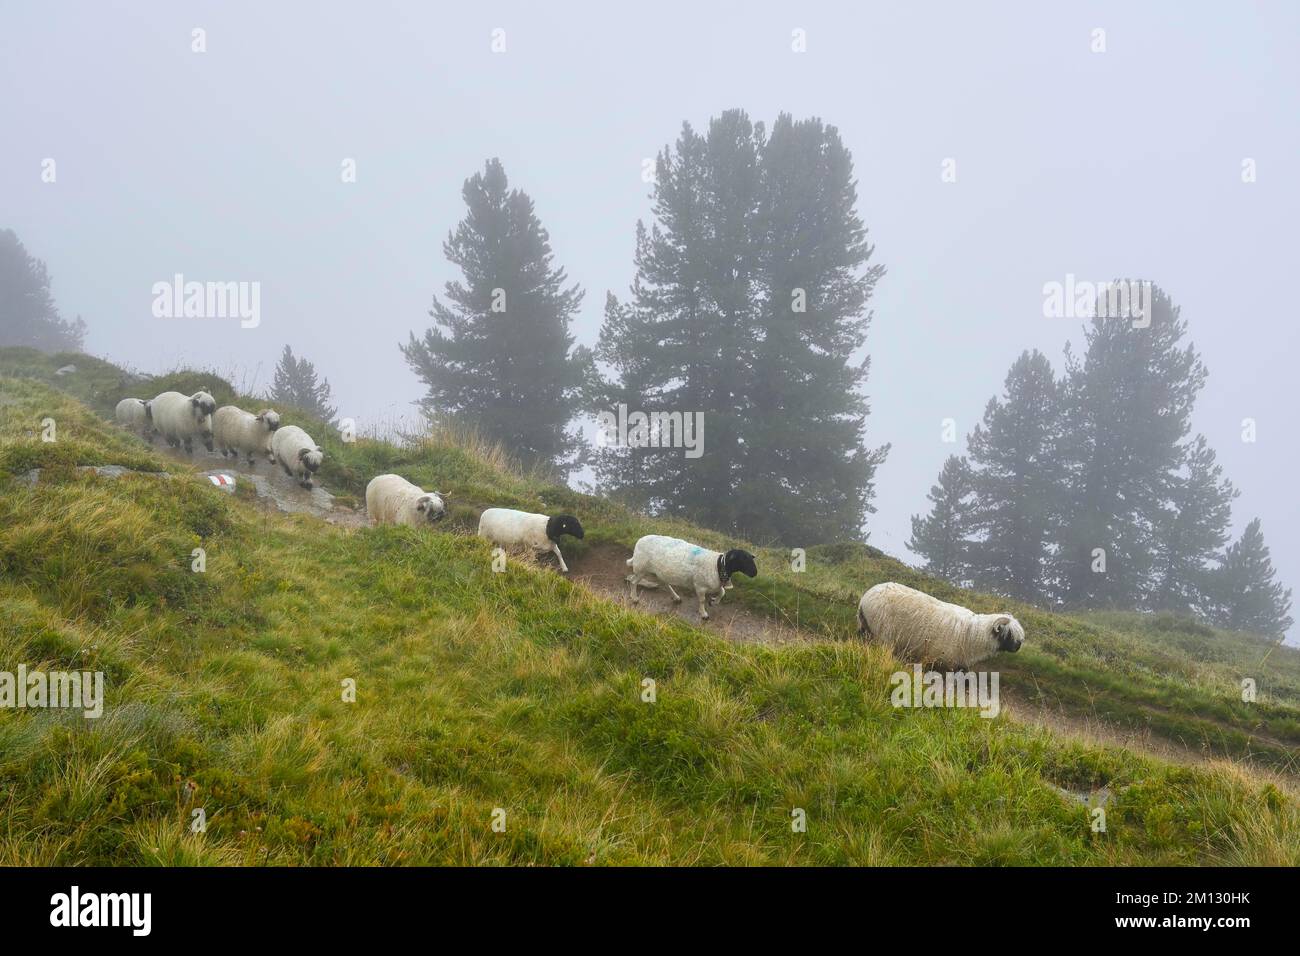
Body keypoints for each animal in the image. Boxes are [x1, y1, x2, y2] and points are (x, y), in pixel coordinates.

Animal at [626, 534, 758, 621]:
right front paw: (704, 614)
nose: (755, 573)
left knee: (665, 583)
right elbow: (702, 600)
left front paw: (714, 601)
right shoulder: (700, 586)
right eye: (743, 560)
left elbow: (723, 592)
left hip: (660, 571)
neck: (717, 566)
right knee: (633, 582)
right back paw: (634, 597)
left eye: (751, 559)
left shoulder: (716, 584)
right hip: (641, 567)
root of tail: (639, 541)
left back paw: (676, 597)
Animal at [856, 582, 1024, 670]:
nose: (1017, 647)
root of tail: (864, 599)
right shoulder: (942, 664)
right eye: (1009, 634)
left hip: (866, 628)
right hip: (883, 636)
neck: (973, 634)